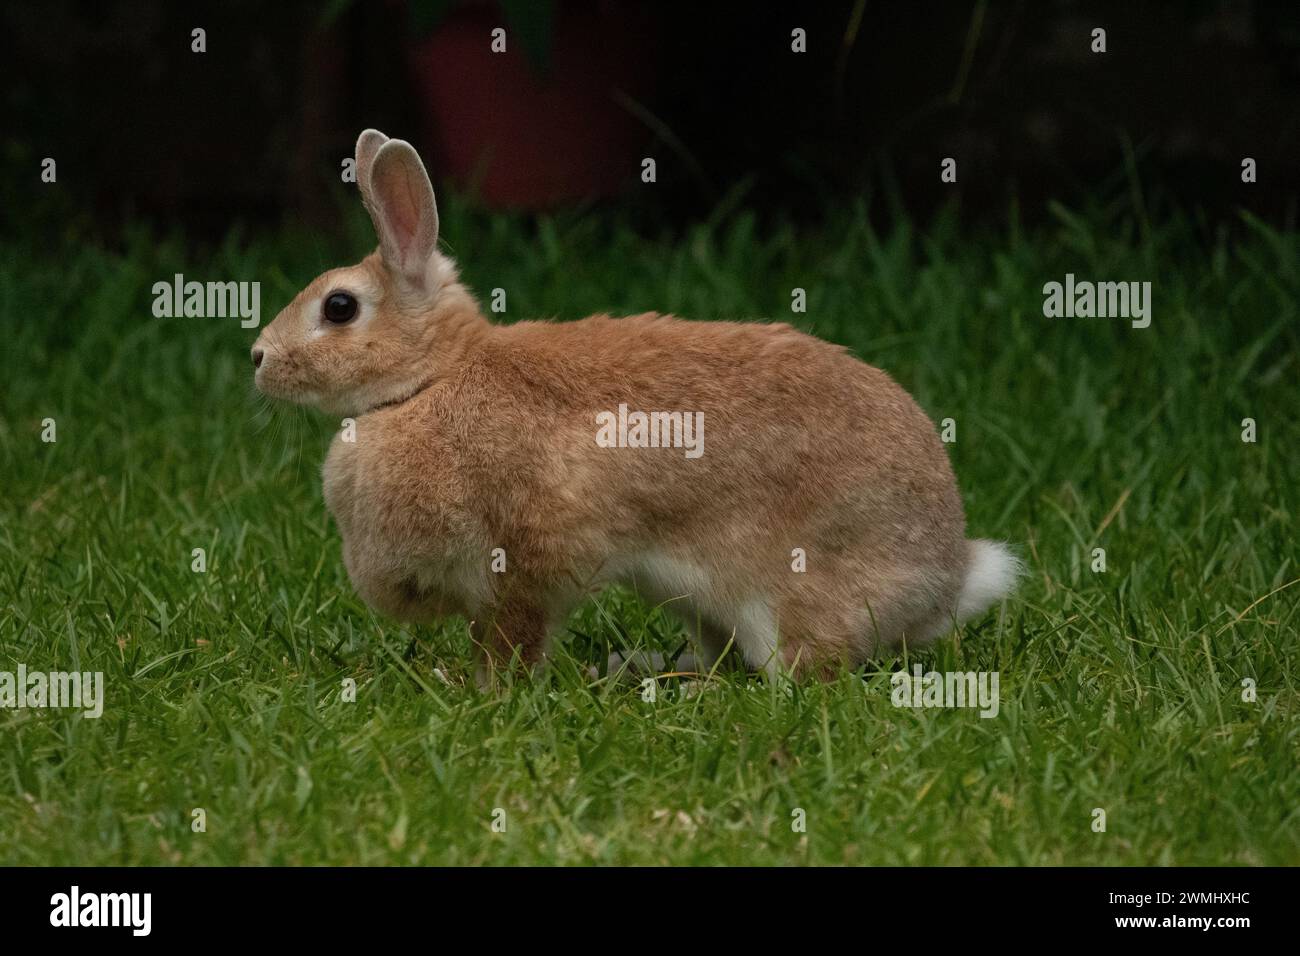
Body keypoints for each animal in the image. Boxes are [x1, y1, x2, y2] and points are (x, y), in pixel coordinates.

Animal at [252, 129, 1020, 685]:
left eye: (339, 308)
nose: (258, 358)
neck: (433, 378)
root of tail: (943, 582)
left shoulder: (529, 558)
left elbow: (513, 637)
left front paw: (484, 691)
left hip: (786, 595)